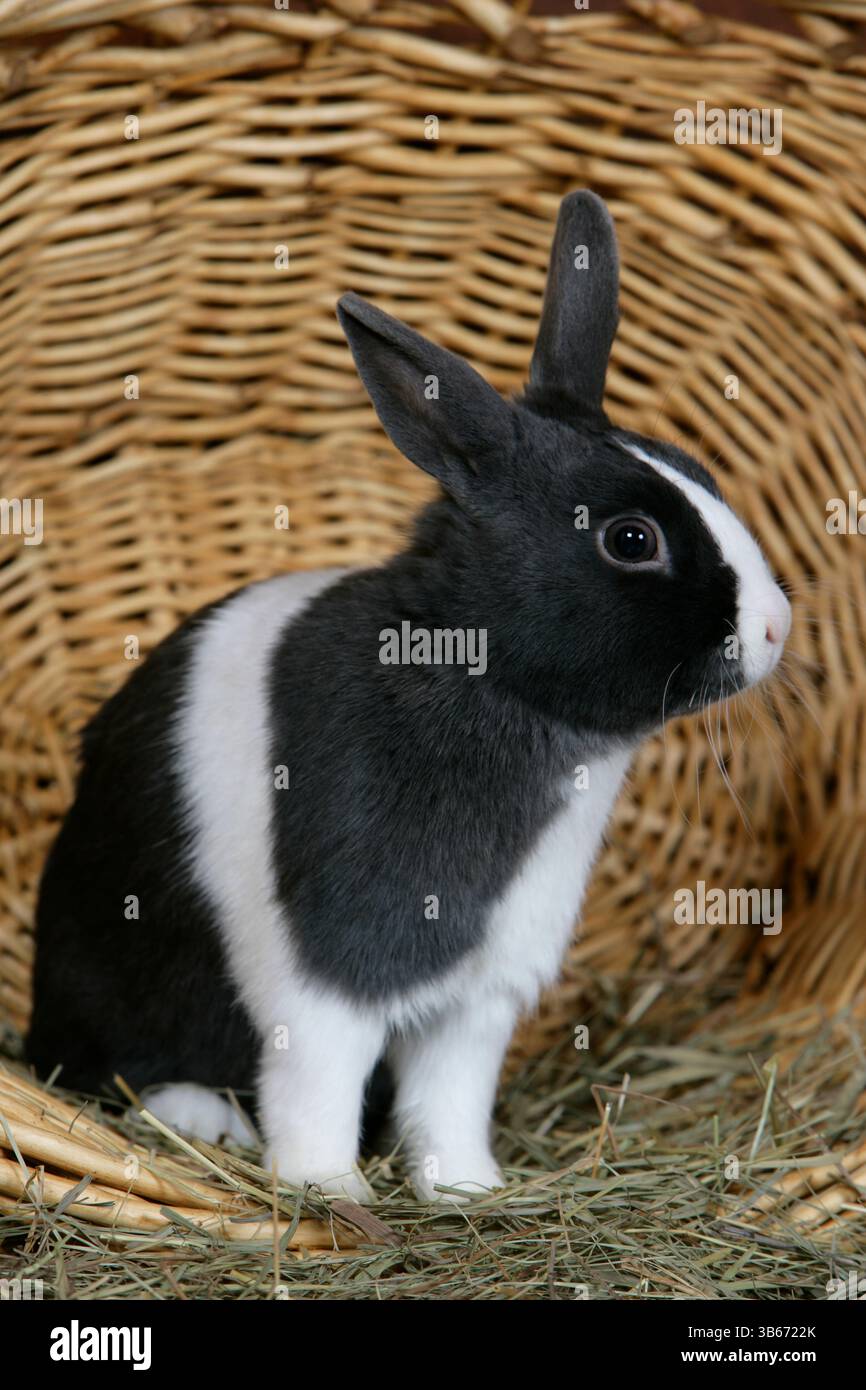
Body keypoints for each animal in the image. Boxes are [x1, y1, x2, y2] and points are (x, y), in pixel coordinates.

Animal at [27, 191, 791, 1202]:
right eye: (631, 539)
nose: (778, 626)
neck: (488, 681)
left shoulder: (480, 998)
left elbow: (450, 1099)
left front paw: (468, 1191)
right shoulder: (330, 977)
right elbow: (318, 1086)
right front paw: (328, 1195)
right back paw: (199, 1118)